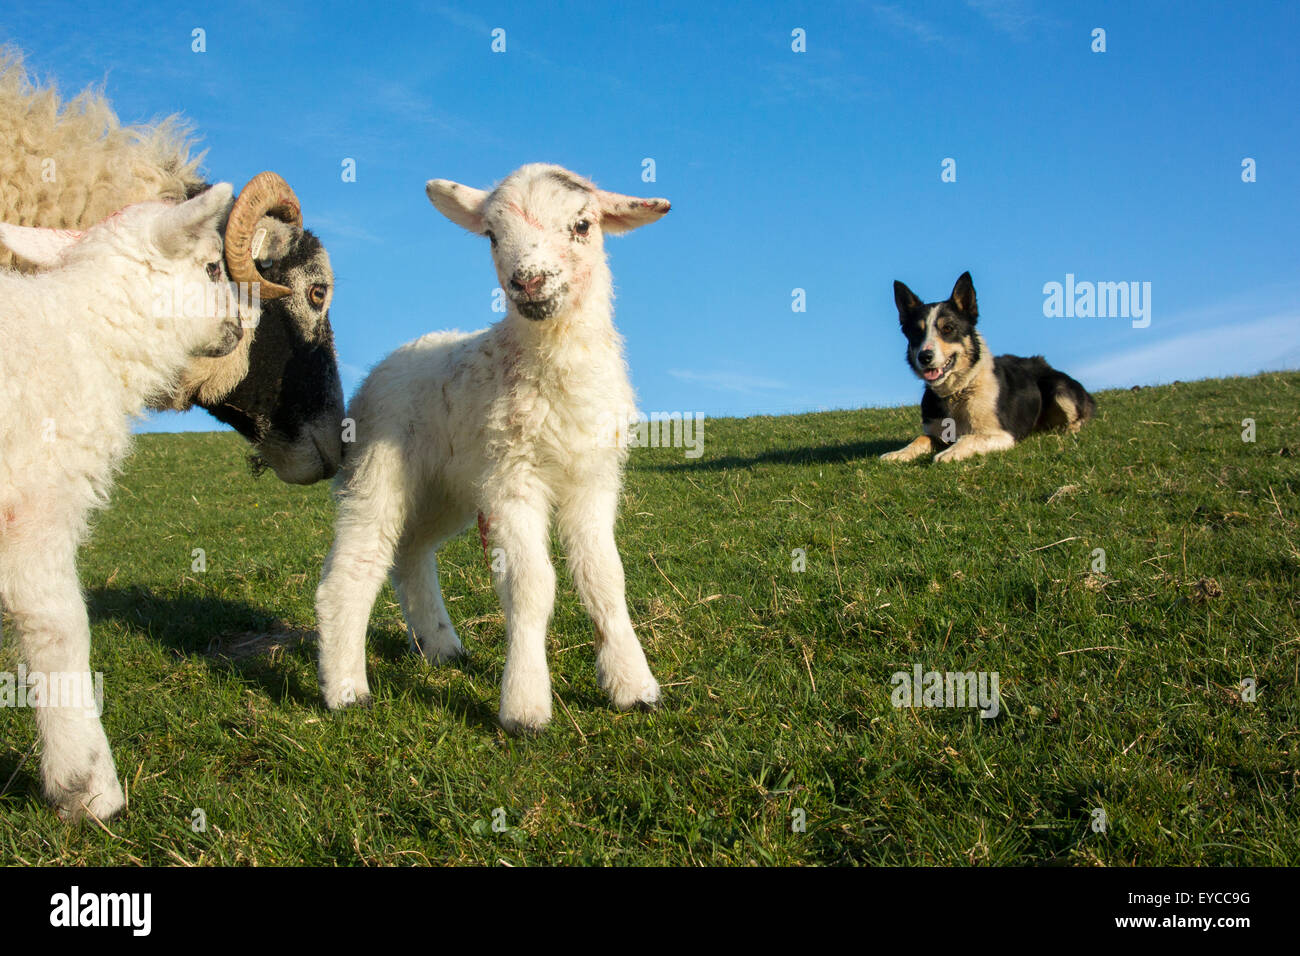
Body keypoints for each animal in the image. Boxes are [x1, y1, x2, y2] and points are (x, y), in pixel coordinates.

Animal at [0, 186, 244, 819]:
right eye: (212, 268)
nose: (237, 328)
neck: (89, 334)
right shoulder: (34, 507)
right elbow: (60, 628)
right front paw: (88, 787)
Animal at [315, 164, 670, 733]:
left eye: (583, 225)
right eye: (492, 236)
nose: (528, 280)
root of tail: (395, 355)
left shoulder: (593, 479)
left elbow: (604, 577)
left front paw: (633, 686)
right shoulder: (511, 480)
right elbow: (531, 585)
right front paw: (525, 707)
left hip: (449, 487)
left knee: (410, 552)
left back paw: (440, 645)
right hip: (377, 463)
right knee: (359, 560)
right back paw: (347, 690)